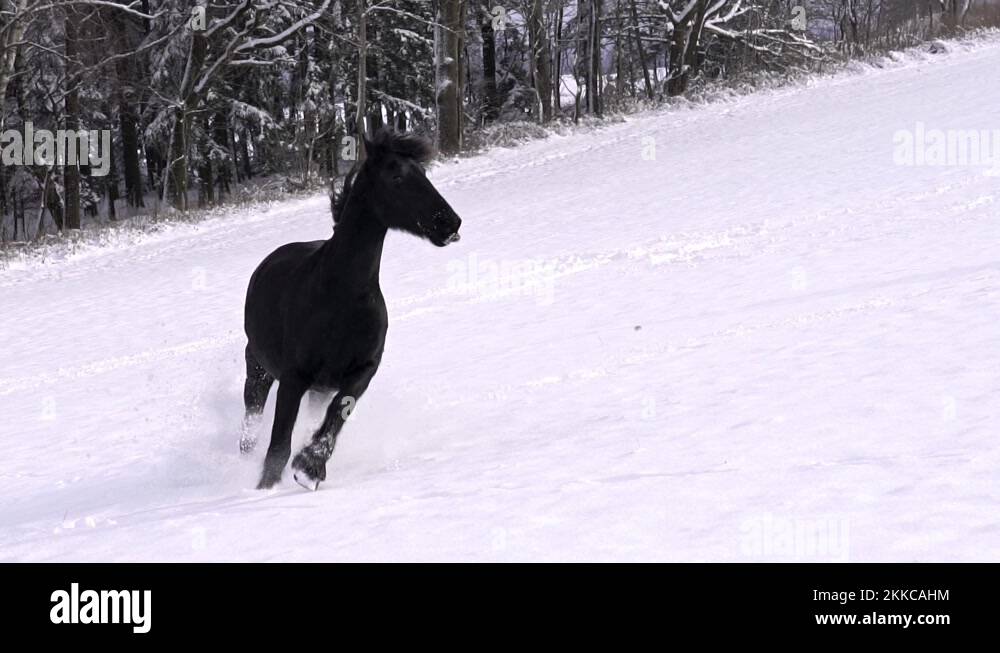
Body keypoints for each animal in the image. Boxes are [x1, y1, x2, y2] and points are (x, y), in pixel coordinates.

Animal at [241, 129, 462, 490]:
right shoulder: (293, 377)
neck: (342, 297)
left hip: (315, 387)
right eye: (396, 177)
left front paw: (310, 466)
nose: (450, 223)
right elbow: (278, 447)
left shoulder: (362, 371)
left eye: (424, 173)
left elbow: (337, 413)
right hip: (258, 368)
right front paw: (266, 488)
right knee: (252, 415)